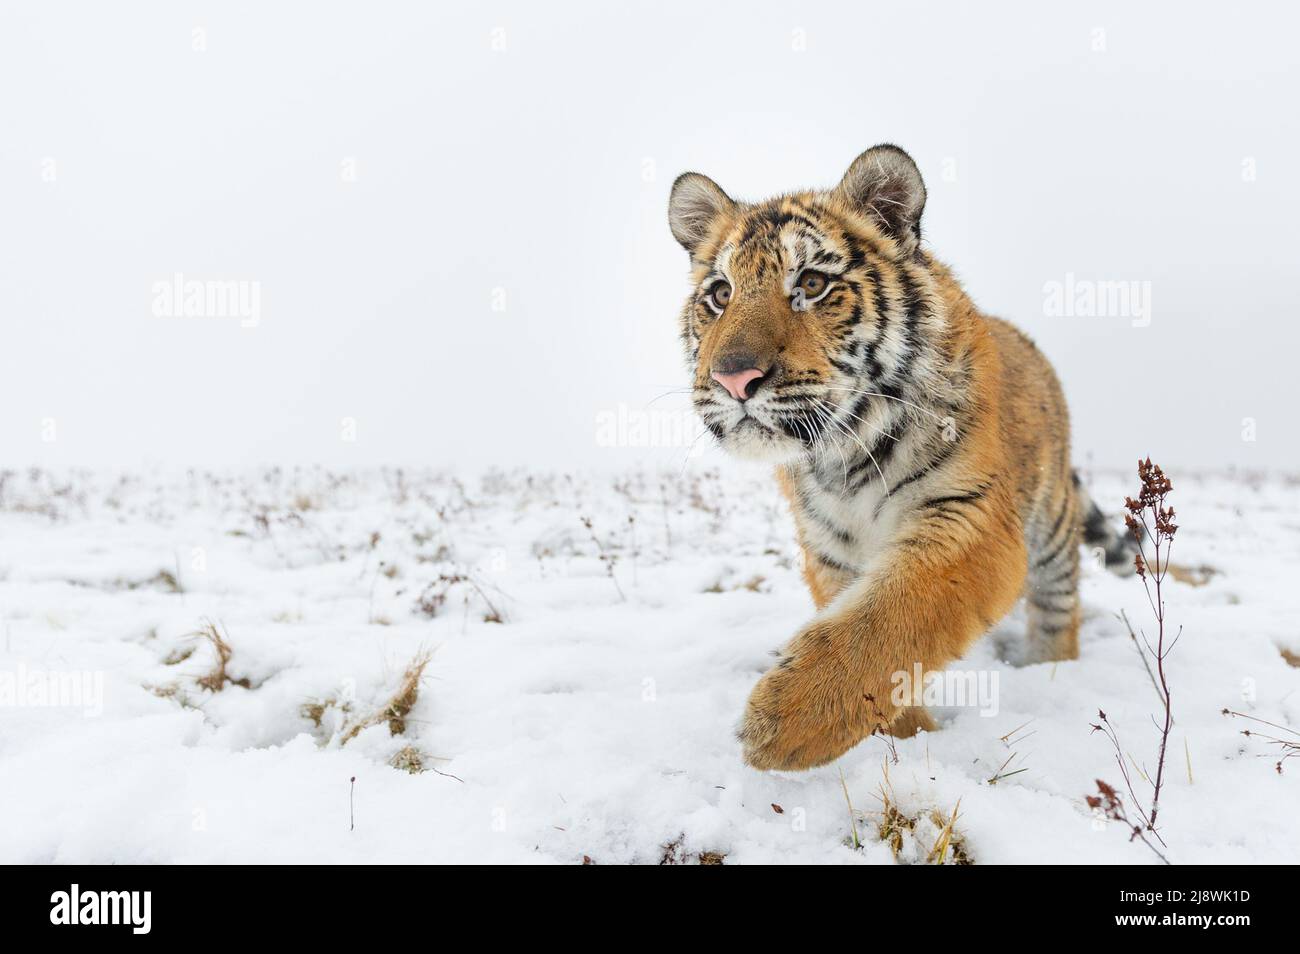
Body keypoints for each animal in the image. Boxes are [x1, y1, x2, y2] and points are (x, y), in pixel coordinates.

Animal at [667, 144, 1132, 771]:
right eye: (720, 294)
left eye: (812, 283)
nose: (733, 377)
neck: (842, 449)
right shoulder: (830, 549)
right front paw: (903, 736)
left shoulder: (970, 513)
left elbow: (892, 617)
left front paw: (786, 723)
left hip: (1053, 529)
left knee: (1058, 612)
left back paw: (1052, 675)